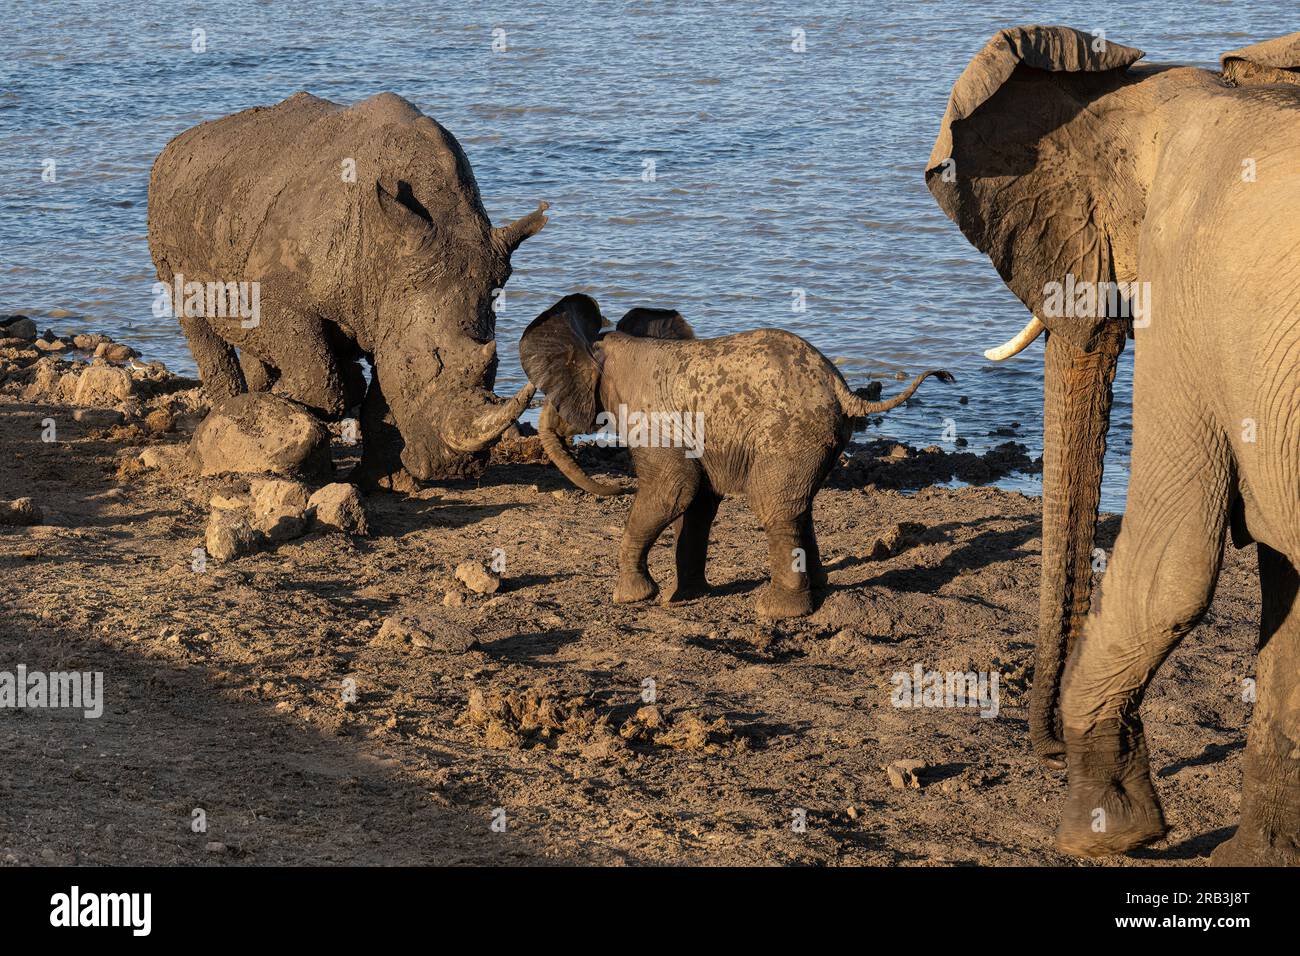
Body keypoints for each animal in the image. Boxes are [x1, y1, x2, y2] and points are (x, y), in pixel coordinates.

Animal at [148, 92, 541, 488]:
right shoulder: (278, 293)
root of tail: (174, 146)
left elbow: (381, 401)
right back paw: (232, 411)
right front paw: (290, 398)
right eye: (416, 363)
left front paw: (384, 482)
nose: (456, 469)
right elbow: (319, 373)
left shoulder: (390, 308)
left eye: (493, 366)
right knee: (196, 321)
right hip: (167, 209)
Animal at [518, 294, 954, 619]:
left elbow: (673, 491)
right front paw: (683, 597)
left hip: (790, 433)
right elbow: (698, 501)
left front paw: (633, 598)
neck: (612, 347)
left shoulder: (652, 420)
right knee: (798, 506)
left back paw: (776, 611)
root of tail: (840, 387)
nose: (618, 489)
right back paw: (816, 594)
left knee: (773, 503)